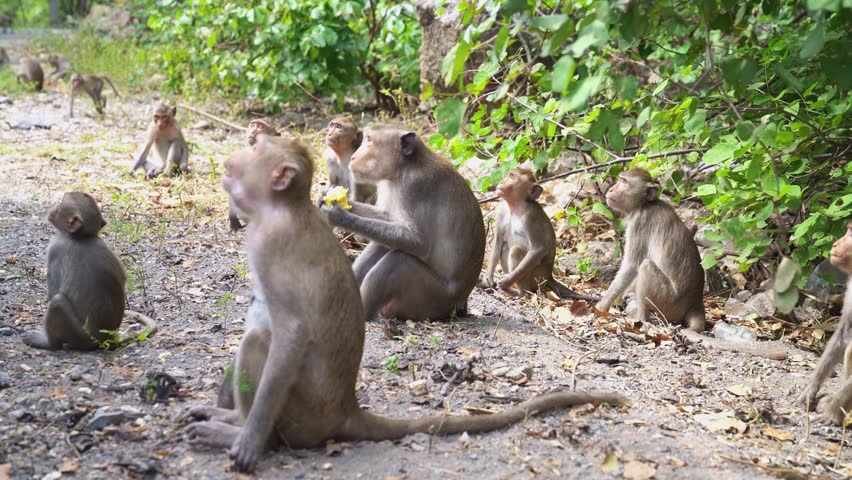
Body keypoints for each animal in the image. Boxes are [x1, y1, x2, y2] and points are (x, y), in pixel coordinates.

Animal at [21, 192, 157, 351]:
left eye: (61, 203)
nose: (53, 207)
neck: (82, 237)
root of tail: (106, 339)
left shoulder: (55, 248)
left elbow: (52, 294)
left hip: (78, 335)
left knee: (57, 302)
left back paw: (49, 343)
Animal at [322, 124, 486, 323]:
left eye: (369, 140)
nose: (353, 157)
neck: (402, 169)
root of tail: (461, 304)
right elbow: (389, 219)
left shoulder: (415, 187)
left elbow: (419, 242)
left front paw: (340, 216)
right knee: (385, 244)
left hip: (433, 299)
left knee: (397, 261)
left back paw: (362, 312)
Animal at [482, 169, 599, 302]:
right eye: (508, 175)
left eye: (512, 177)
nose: (502, 181)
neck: (516, 207)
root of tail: (548, 276)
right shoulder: (501, 210)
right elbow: (498, 242)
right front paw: (488, 278)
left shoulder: (530, 216)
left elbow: (538, 248)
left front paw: (507, 281)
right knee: (505, 247)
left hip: (536, 278)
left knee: (516, 250)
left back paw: (519, 292)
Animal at [595, 168, 786, 360]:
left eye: (624, 182)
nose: (610, 189)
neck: (645, 204)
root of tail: (696, 302)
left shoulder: (639, 222)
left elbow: (631, 266)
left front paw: (600, 308)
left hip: (668, 302)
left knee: (646, 267)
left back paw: (641, 318)